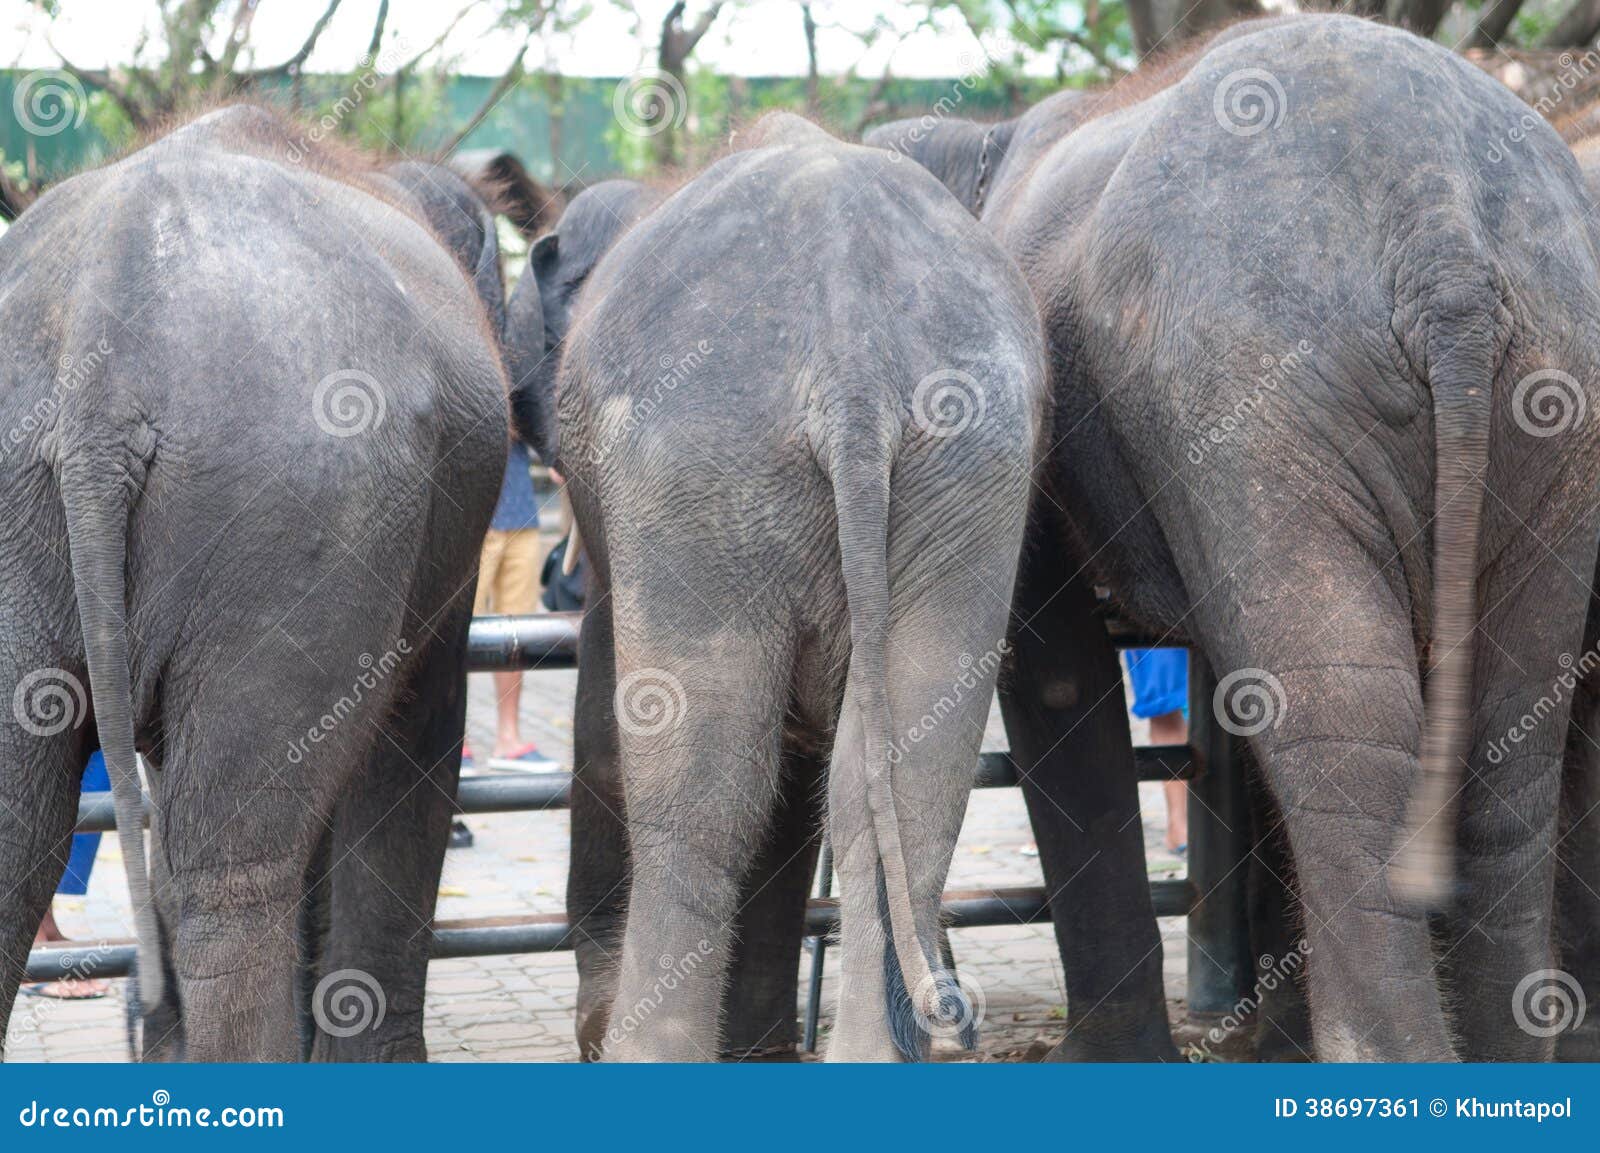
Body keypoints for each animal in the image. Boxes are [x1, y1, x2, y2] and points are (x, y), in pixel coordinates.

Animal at [506, 112, 1046, 1060]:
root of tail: (853, 352)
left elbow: (604, 726)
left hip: (695, 468)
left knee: (699, 794)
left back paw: (640, 1053)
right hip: (970, 473)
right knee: (901, 784)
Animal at [870, 13, 1600, 1060]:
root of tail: (1445, 237)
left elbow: (1052, 675)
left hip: (1257, 392)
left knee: (1351, 730)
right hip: (1555, 389)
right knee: (1511, 726)